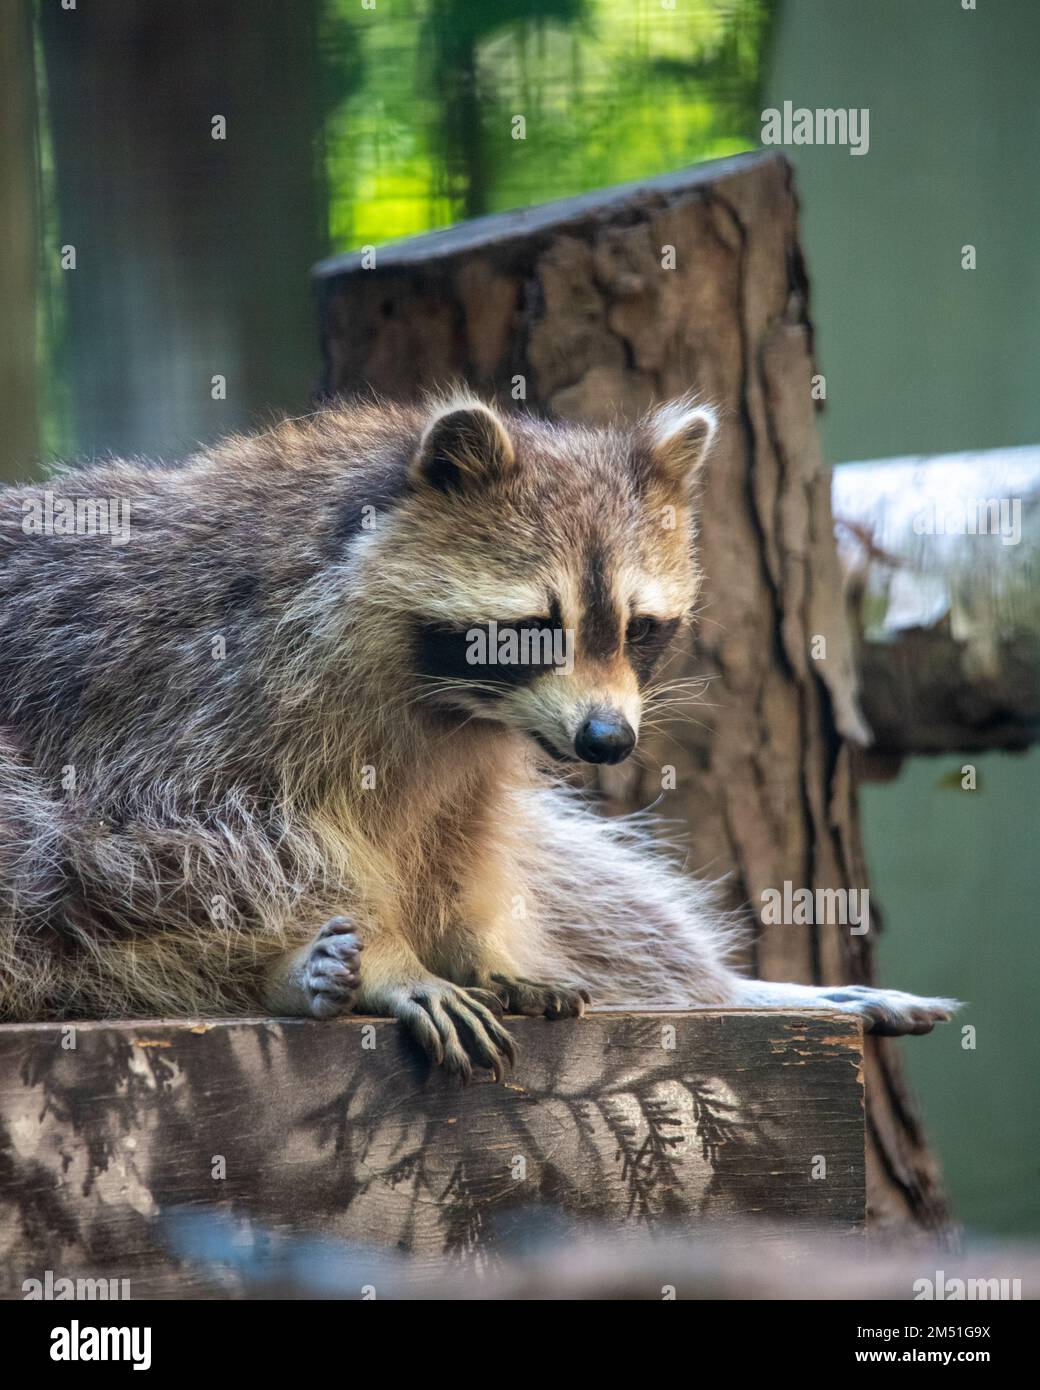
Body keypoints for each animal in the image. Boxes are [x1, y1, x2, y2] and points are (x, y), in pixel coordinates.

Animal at [0, 394, 957, 1076]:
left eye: (641, 627)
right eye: (536, 629)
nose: (608, 740)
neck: (446, 702)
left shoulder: (469, 756)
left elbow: (464, 836)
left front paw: (477, 946)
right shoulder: (179, 689)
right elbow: (184, 835)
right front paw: (381, 953)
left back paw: (731, 992)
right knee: (41, 861)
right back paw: (284, 974)